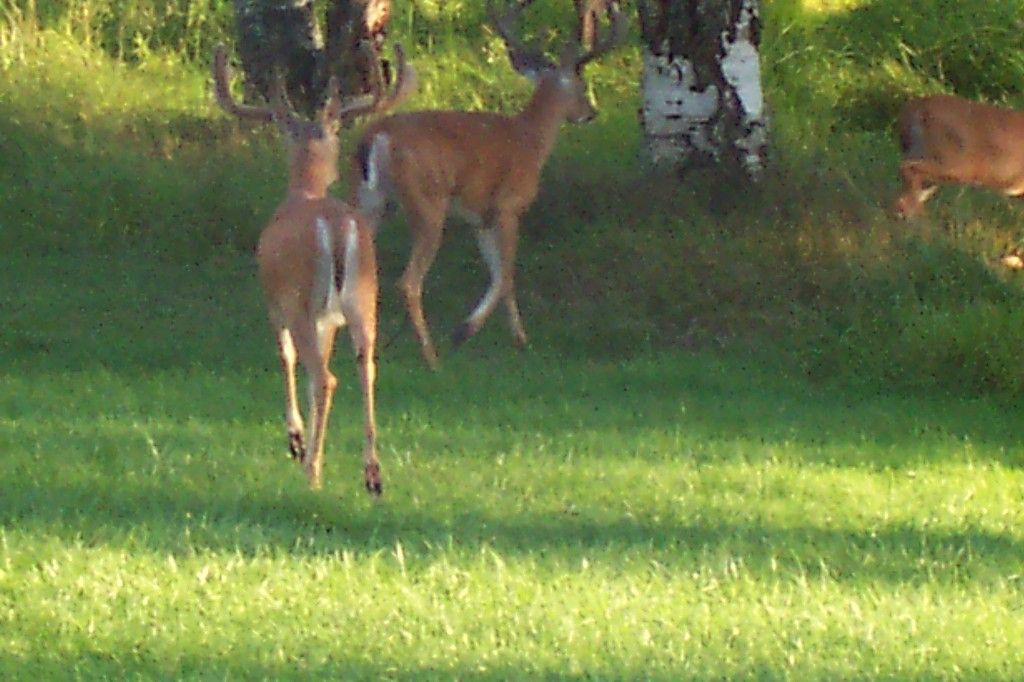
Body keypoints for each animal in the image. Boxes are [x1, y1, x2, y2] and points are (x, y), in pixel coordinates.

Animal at [212, 41, 415, 494]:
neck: (303, 191)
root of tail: (336, 227)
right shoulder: (330, 319)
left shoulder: (276, 303)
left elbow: (287, 359)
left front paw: (297, 440)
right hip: (363, 297)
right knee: (365, 368)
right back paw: (372, 473)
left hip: (301, 299)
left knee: (325, 377)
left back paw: (312, 473)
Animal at [352, 0, 627, 369]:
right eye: (581, 85)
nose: (590, 112)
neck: (530, 140)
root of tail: (376, 136)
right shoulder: (509, 206)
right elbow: (507, 273)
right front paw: (467, 331)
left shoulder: (480, 218)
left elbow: (501, 275)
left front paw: (518, 338)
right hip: (426, 201)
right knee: (407, 282)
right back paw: (431, 357)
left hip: (370, 200)